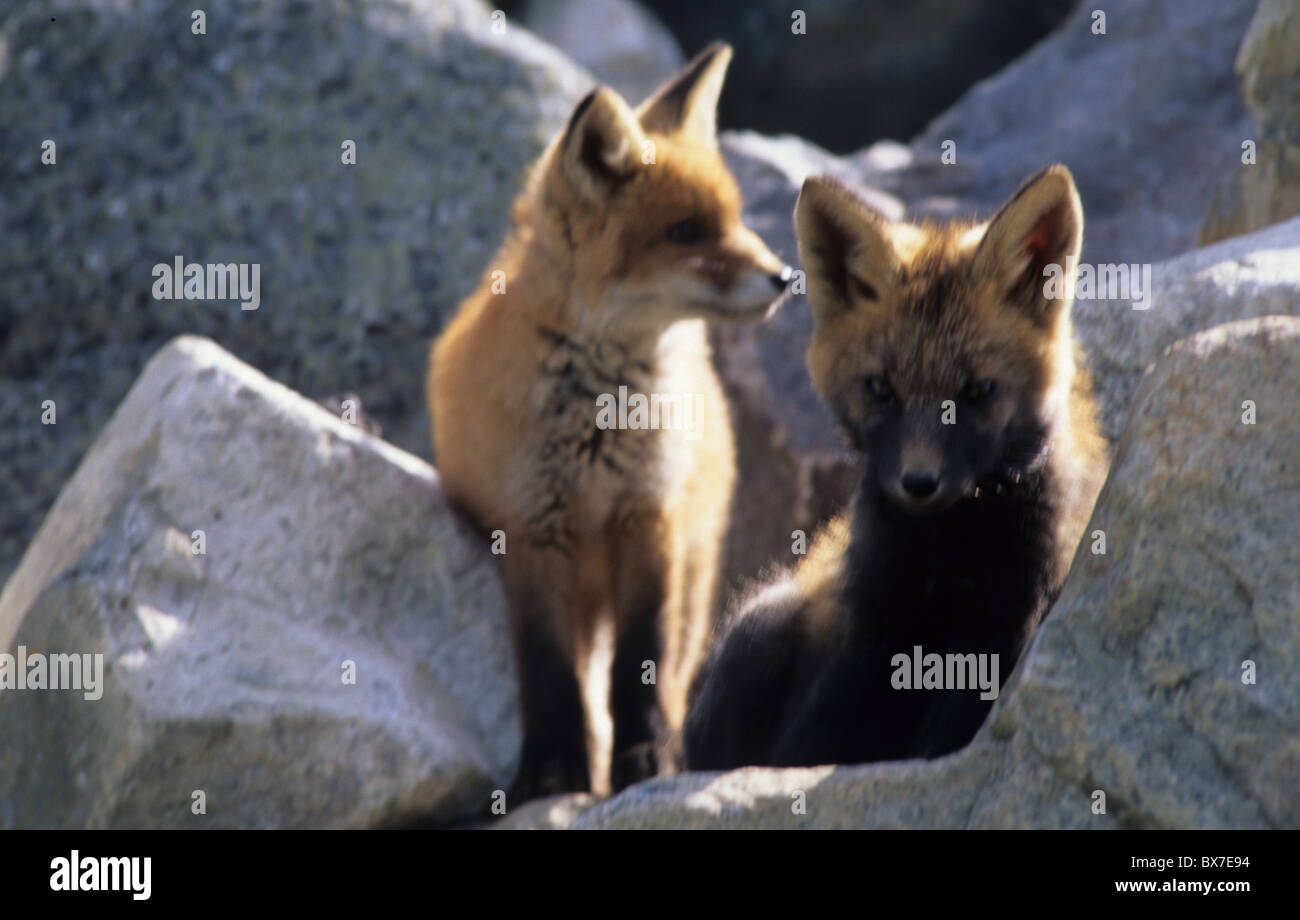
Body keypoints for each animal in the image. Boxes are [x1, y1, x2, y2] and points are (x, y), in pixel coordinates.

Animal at [428, 43, 790, 800]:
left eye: (736, 218)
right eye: (685, 232)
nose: (785, 276)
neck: (601, 418)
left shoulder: (647, 516)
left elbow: (641, 662)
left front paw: (647, 759)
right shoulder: (530, 529)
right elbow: (547, 670)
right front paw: (553, 771)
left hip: (695, 573)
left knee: (673, 664)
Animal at [683, 165, 1108, 770]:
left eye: (978, 391)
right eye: (880, 389)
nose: (919, 483)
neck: (944, 551)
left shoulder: (1007, 624)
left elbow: (939, 737)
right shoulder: (870, 624)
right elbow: (808, 743)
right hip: (764, 626)